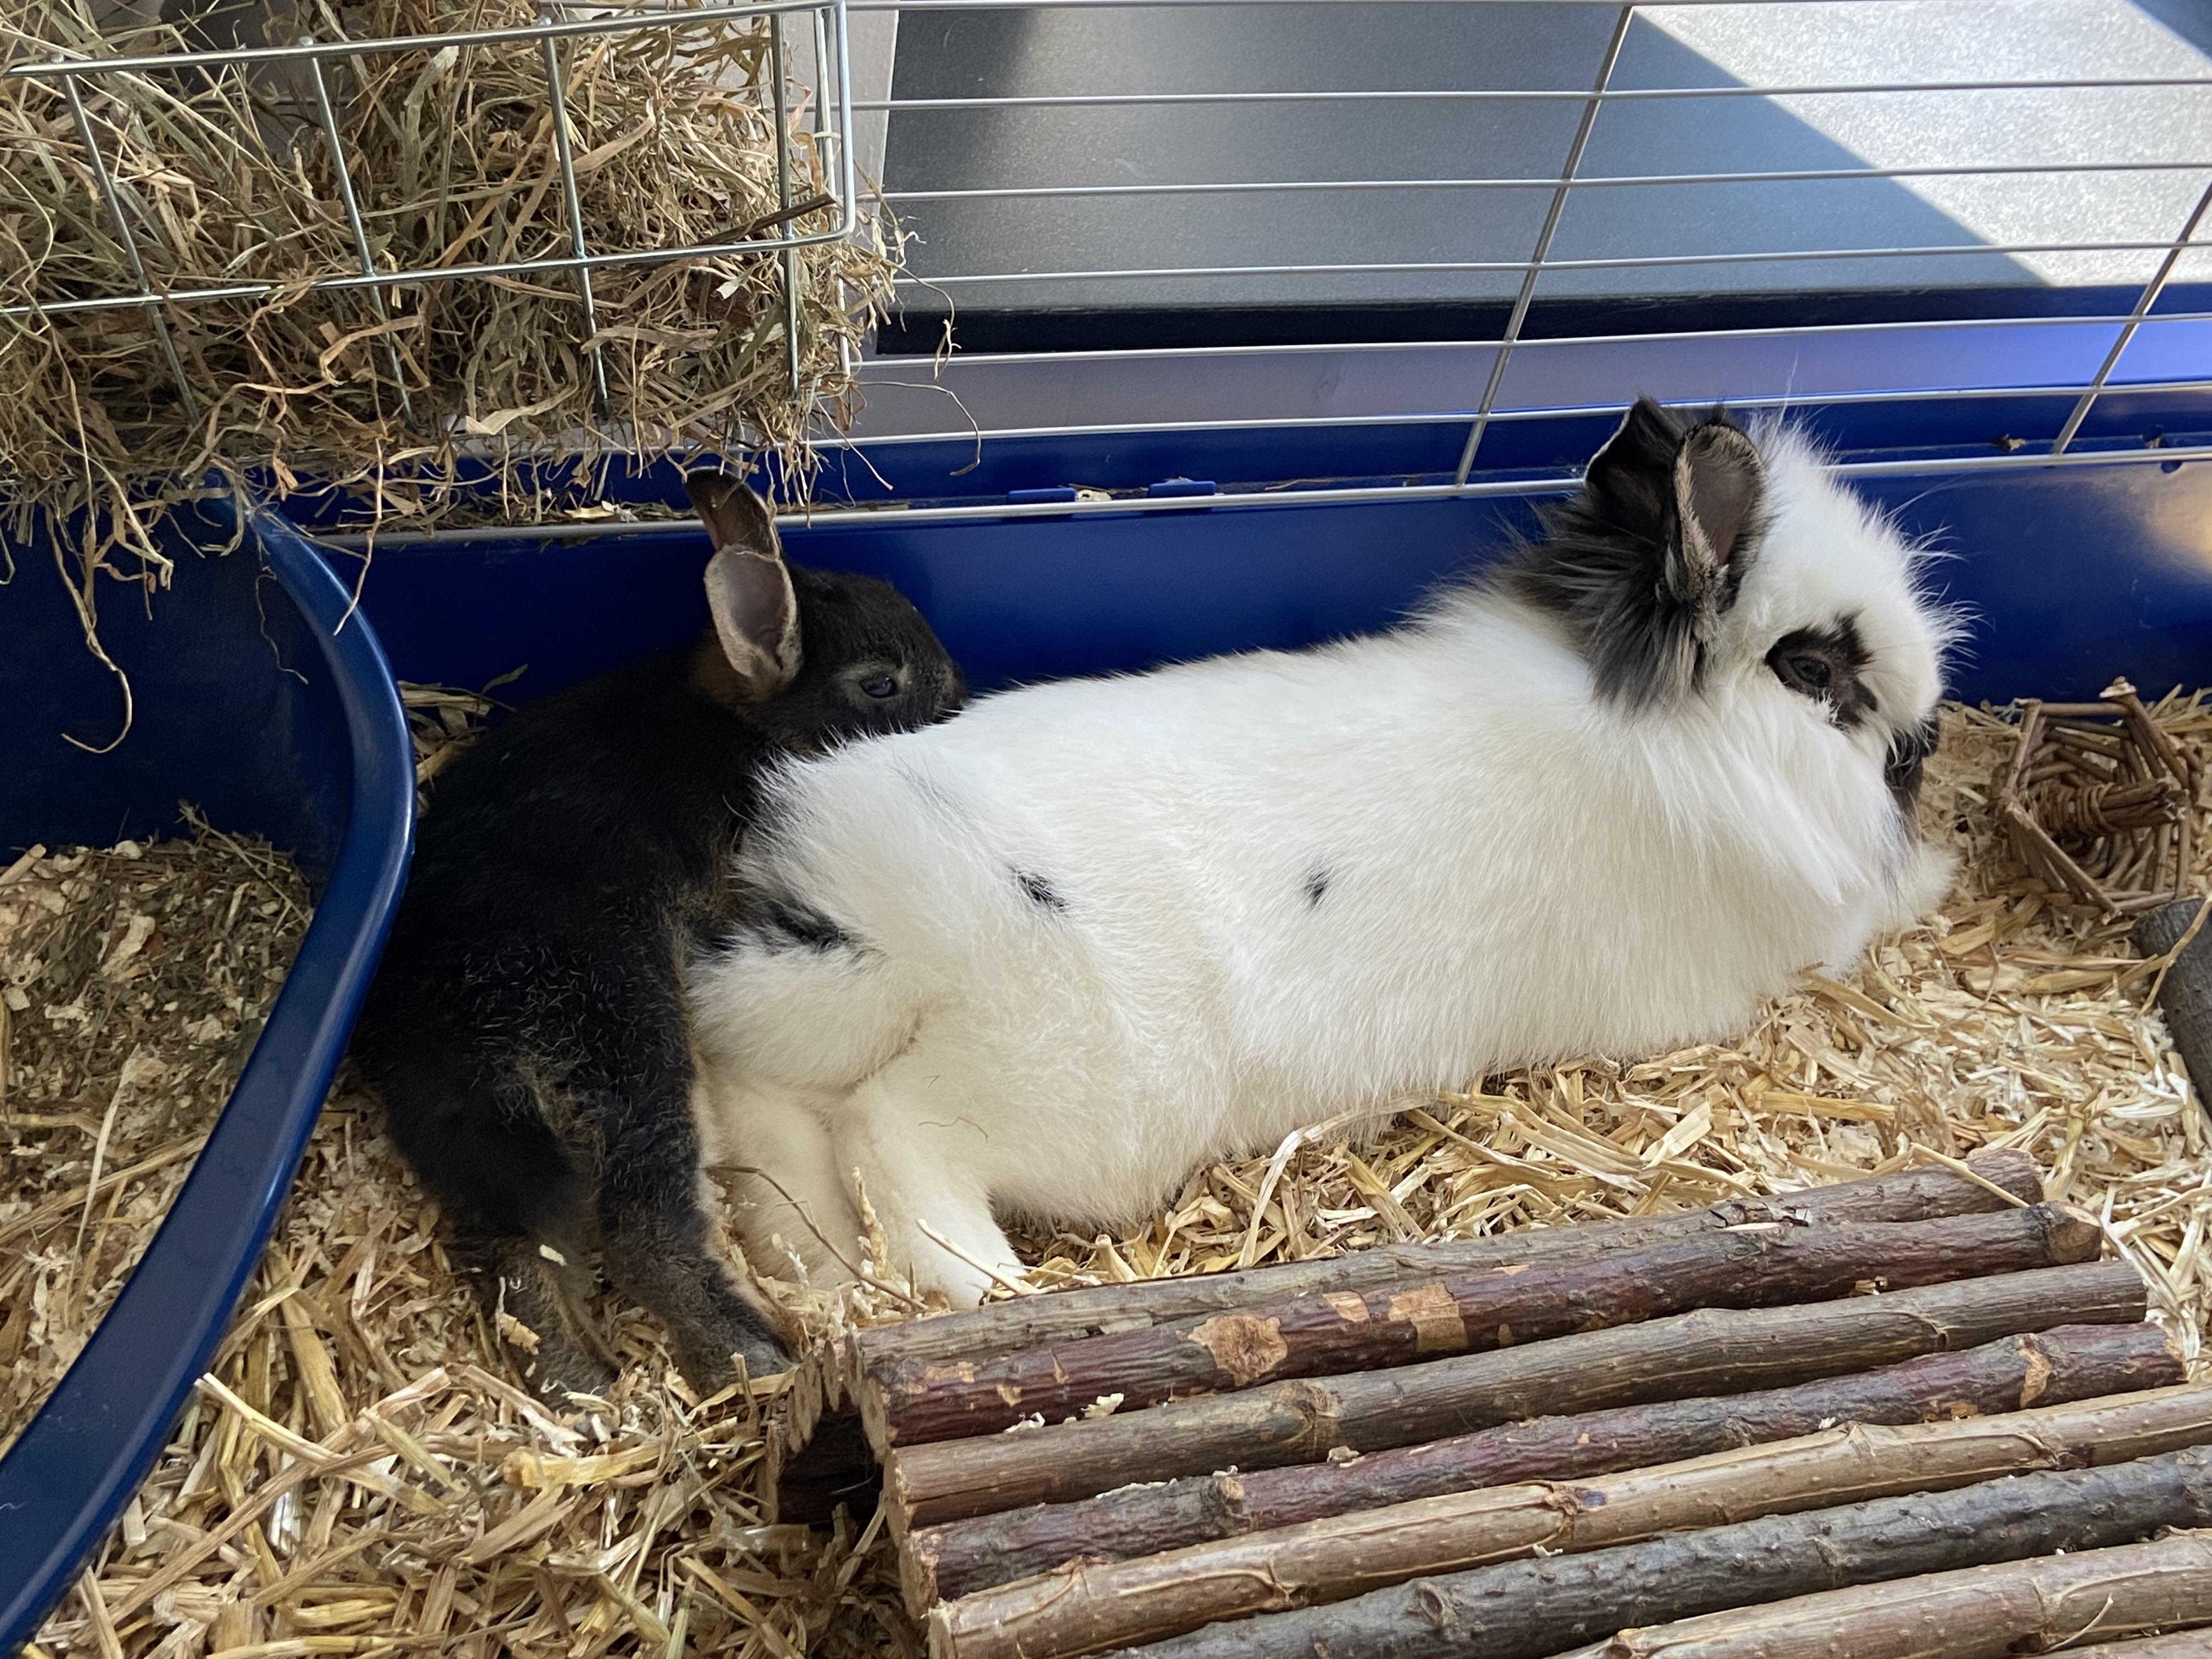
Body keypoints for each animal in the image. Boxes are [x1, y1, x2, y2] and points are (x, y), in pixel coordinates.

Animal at [350, 472, 966, 1398]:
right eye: (879, 685)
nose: (959, 698)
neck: (748, 721)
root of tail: (474, 1051)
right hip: (637, 1060)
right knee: (643, 1232)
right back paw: (753, 1355)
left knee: (517, 1256)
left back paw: (579, 1385)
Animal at [685, 400, 1961, 1308]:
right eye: (1814, 669)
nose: (1931, 741)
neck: (1682, 737)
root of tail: (875, 919)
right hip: (1060, 1093)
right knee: (893, 1139)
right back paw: (990, 1284)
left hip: (798, 1053)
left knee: (777, 1125)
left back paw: (817, 1272)